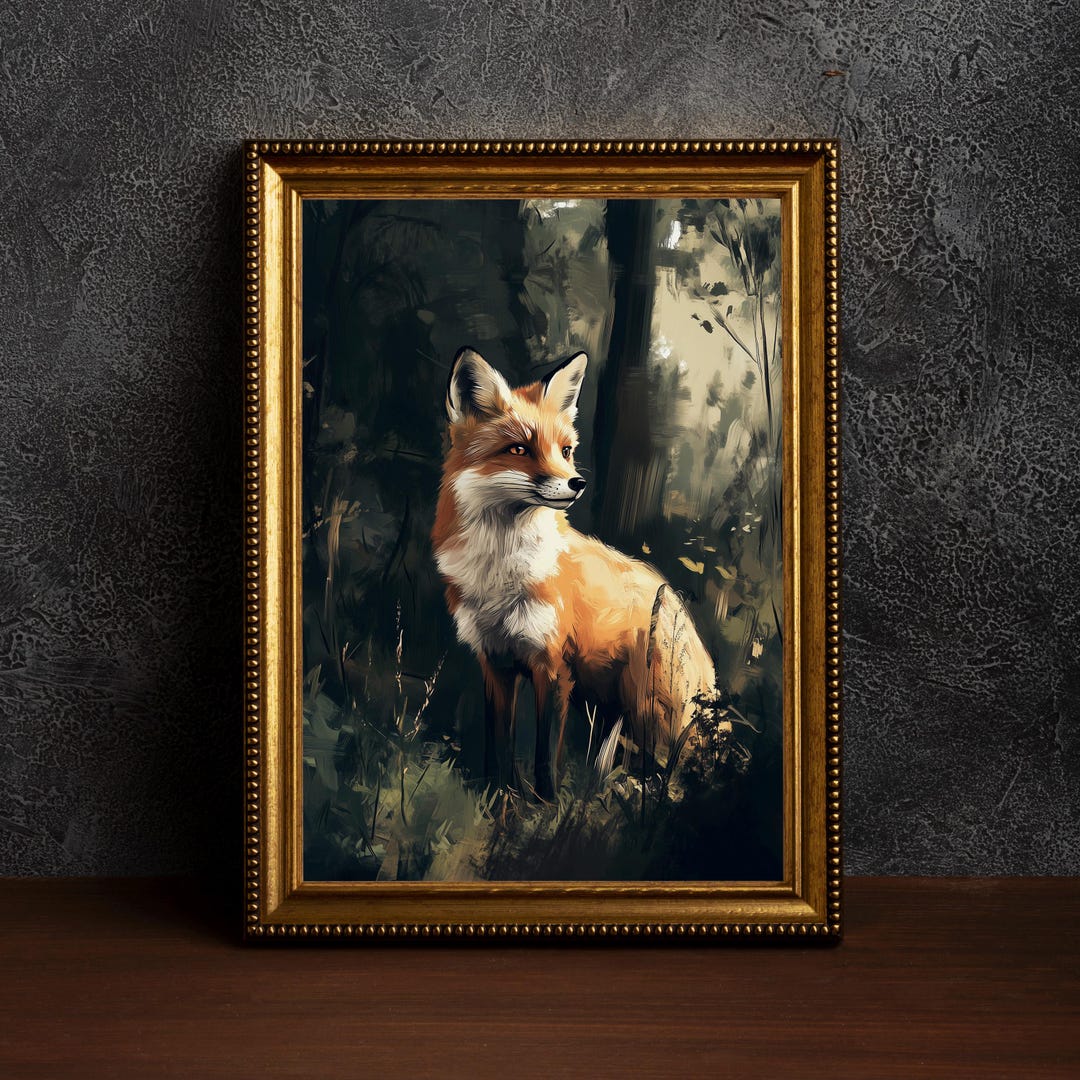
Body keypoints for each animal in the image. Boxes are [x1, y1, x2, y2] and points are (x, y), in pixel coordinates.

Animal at [432, 346, 716, 800]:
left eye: (565, 450)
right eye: (519, 450)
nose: (577, 483)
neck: (501, 571)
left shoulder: (553, 666)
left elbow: (546, 756)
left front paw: (543, 807)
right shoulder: (494, 662)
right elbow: (499, 748)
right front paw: (497, 802)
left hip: (650, 698)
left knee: (674, 771)